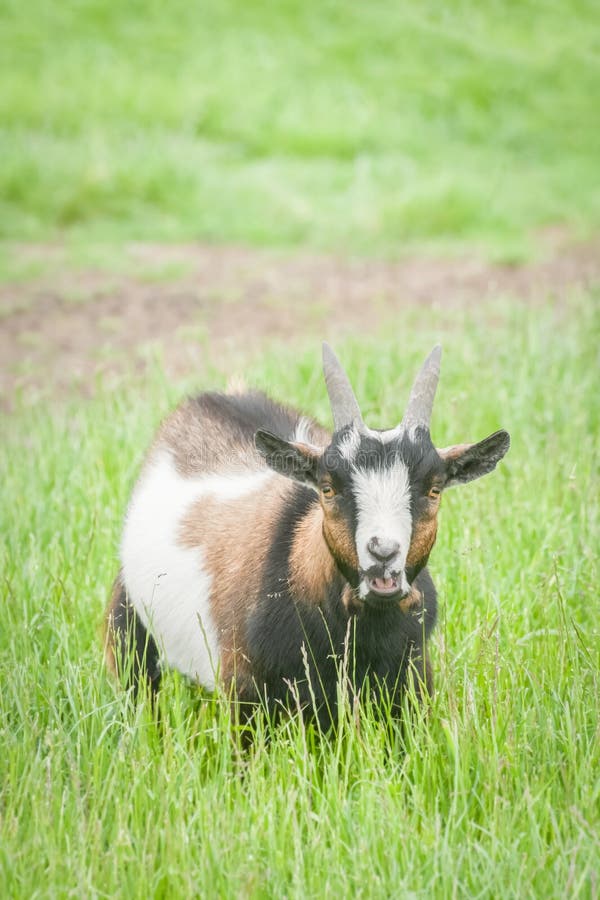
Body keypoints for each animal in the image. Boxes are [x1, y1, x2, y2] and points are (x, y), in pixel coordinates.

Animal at [105, 345, 509, 726]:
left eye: (434, 489)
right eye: (328, 488)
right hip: (131, 634)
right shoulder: (246, 696)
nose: (383, 552)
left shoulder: (411, 683)